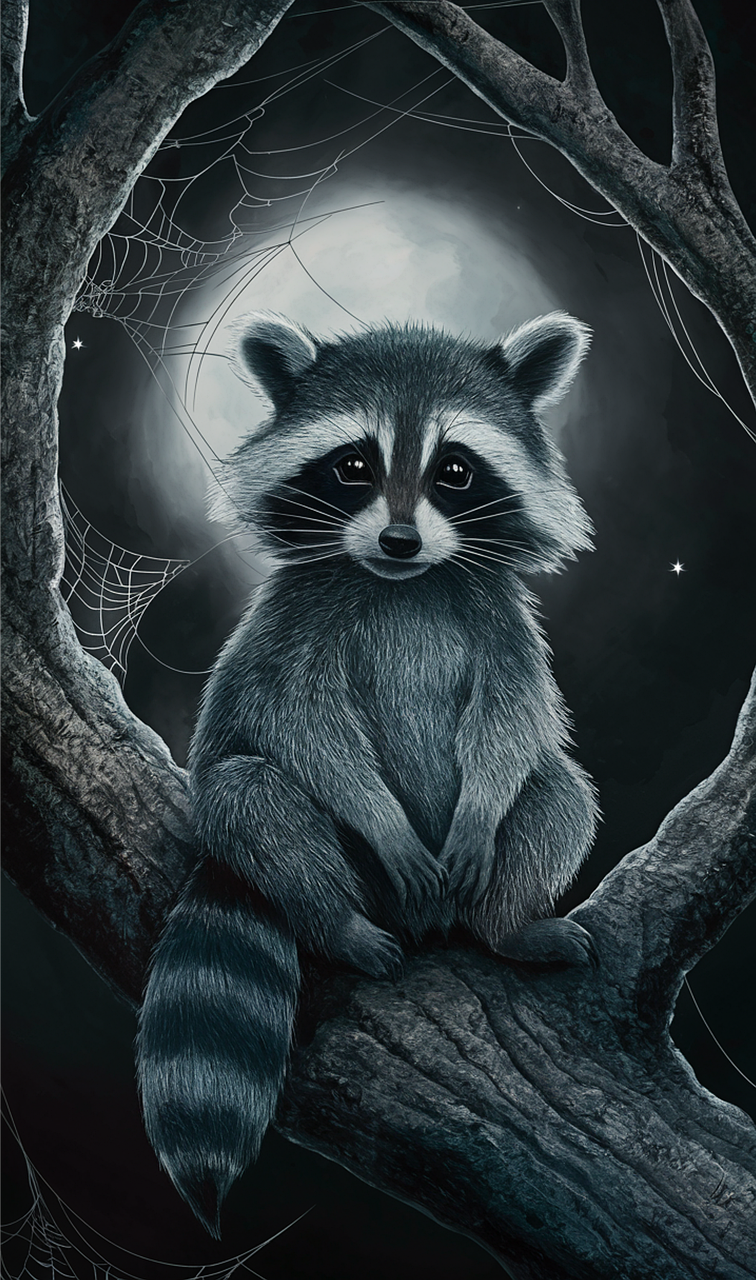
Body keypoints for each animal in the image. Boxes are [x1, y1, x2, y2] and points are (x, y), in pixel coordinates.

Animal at [136, 312, 599, 1236]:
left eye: (454, 470)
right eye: (355, 465)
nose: (398, 539)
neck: (405, 581)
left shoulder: (499, 617)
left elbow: (515, 718)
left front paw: (479, 813)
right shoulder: (299, 615)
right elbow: (301, 722)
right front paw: (386, 821)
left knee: (560, 793)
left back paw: (507, 925)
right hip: (312, 852)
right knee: (253, 800)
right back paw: (338, 923)